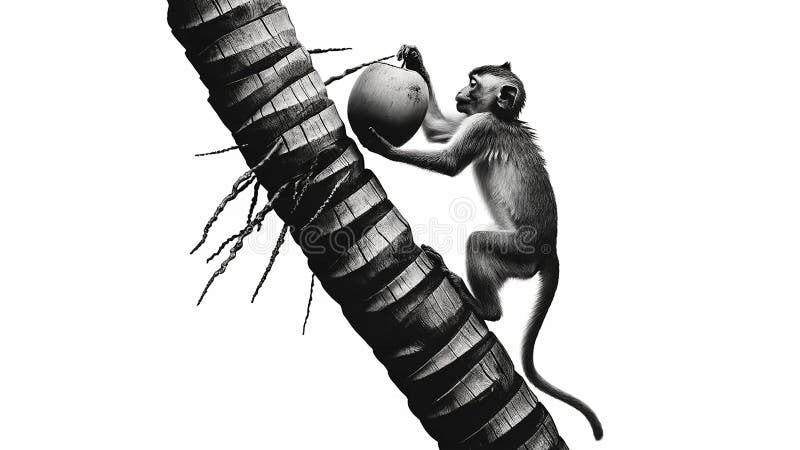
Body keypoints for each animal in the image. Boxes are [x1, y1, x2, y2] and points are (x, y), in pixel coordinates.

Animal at [359, 45, 603, 440]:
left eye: (473, 83)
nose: (461, 91)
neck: (501, 116)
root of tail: (551, 248)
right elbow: (439, 130)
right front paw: (416, 61)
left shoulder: (482, 125)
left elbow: (448, 161)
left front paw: (381, 145)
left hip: (519, 250)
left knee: (478, 243)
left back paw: (485, 309)